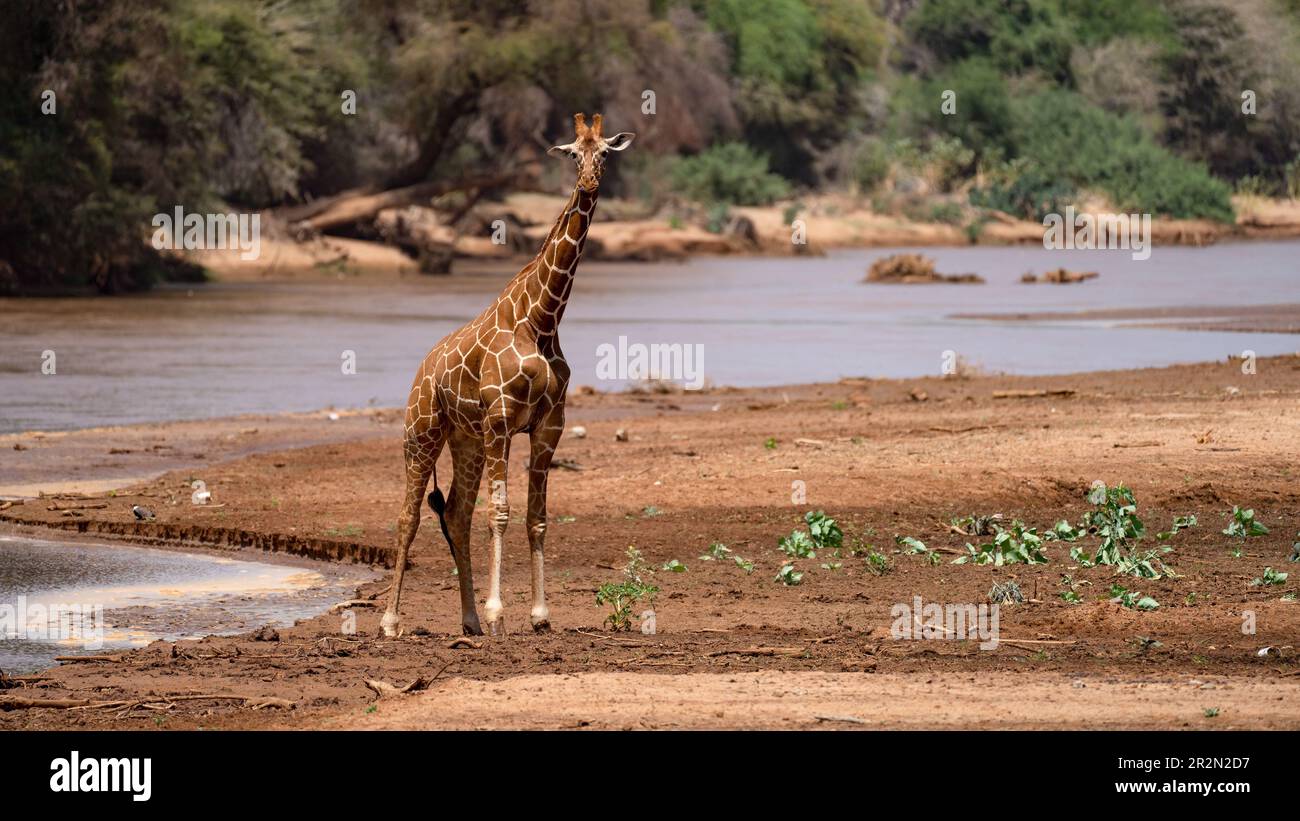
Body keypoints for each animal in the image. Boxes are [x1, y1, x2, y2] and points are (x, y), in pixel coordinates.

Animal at [382, 113, 634, 638]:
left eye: (604, 152)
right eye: (574, 154)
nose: (589, 183)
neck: (542, 319)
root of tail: (421, 369)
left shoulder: (548, 425)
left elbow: (536, 517)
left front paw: (539, 614)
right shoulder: (501, 419)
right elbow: (500, 512)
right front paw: (502, 612)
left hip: (466, 440)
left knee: (456, 513)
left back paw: (470, 621)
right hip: (422, 431)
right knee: (408, 516)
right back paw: (390, 622)